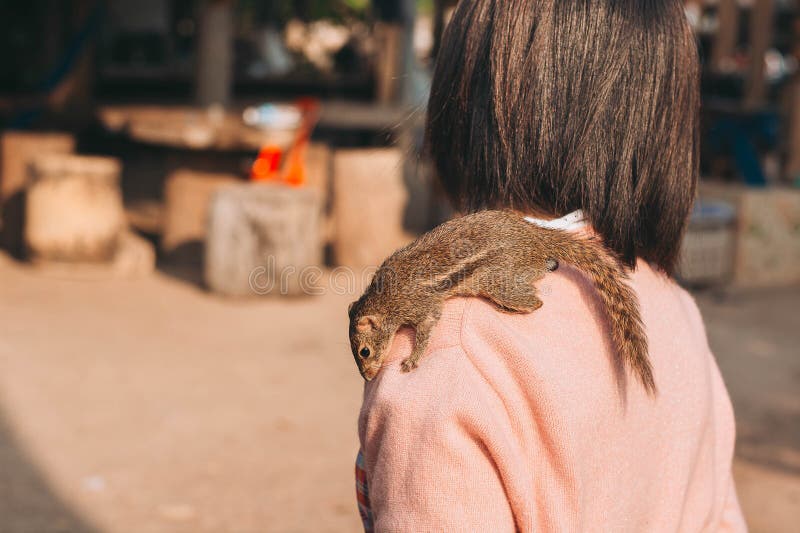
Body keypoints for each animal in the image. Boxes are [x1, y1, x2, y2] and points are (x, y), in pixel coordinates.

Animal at [348, 210, 655, 395]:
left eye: (364, 352)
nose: (368, 378)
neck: (385, 298)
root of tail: (536, 236)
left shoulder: (421, 305)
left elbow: (426, 329)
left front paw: (412, 359)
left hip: (499, 282)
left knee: (535, 302)